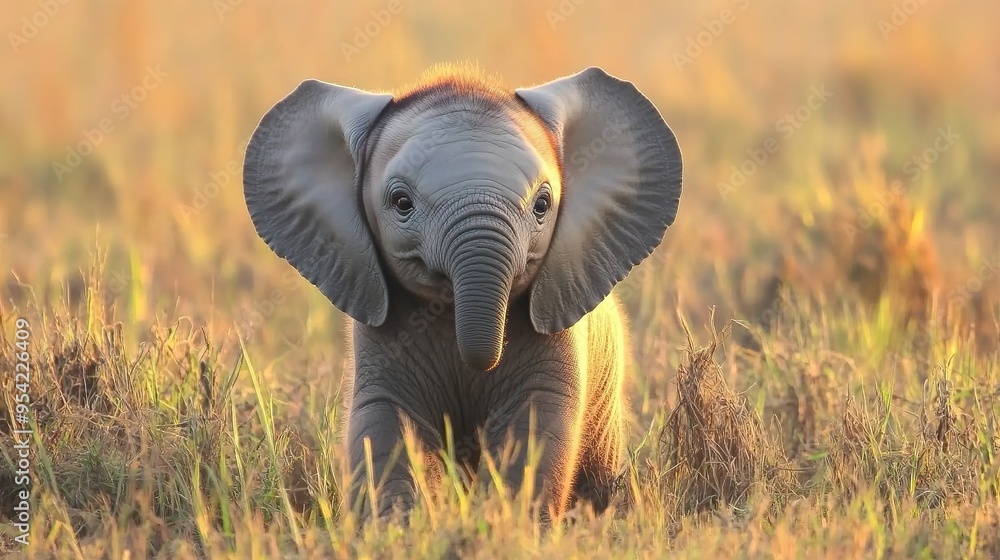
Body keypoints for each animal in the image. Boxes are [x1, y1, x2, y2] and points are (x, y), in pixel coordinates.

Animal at [242, 65, 682, 523]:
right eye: (401, 202)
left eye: (542, 205)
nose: (482, 359)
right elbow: (387, 425)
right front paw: (396, 529)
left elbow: (532, 428)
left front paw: (507, 524)